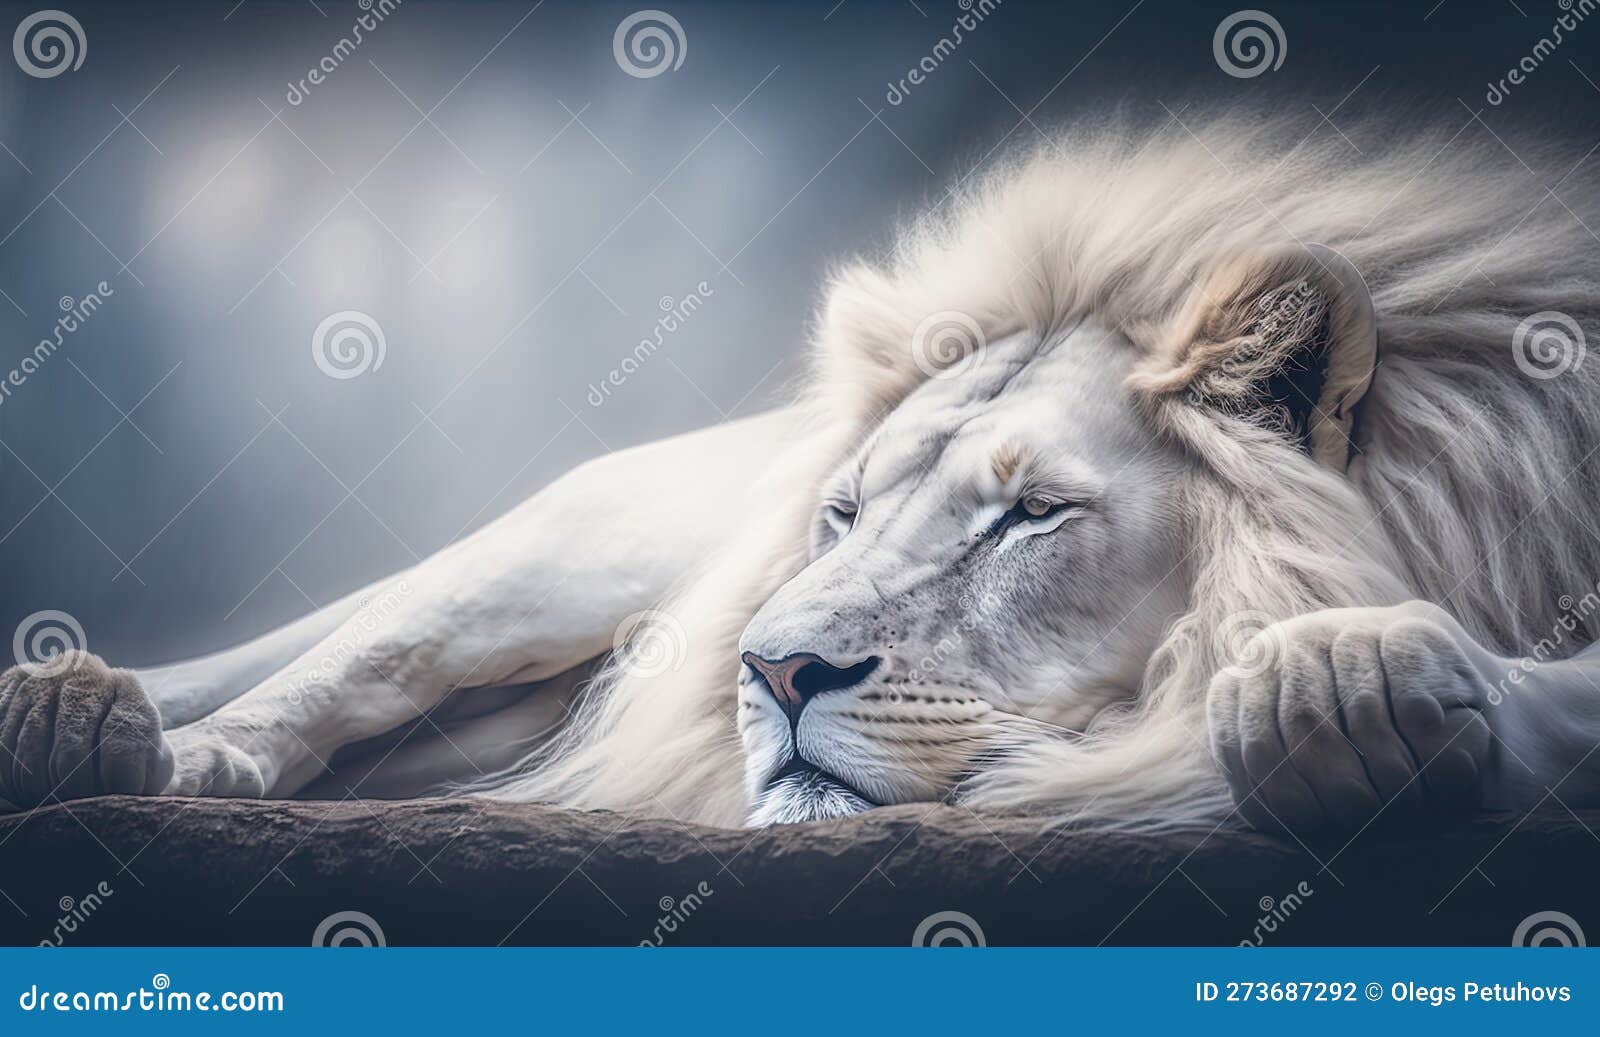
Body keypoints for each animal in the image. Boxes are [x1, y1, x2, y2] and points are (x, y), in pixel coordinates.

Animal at [5, 112, 1600, 835]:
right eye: (842, 515)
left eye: (1032, 515)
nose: (770, 672)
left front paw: (1341, 680)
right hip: (566, 562)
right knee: (341, 670)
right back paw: (94, 732)